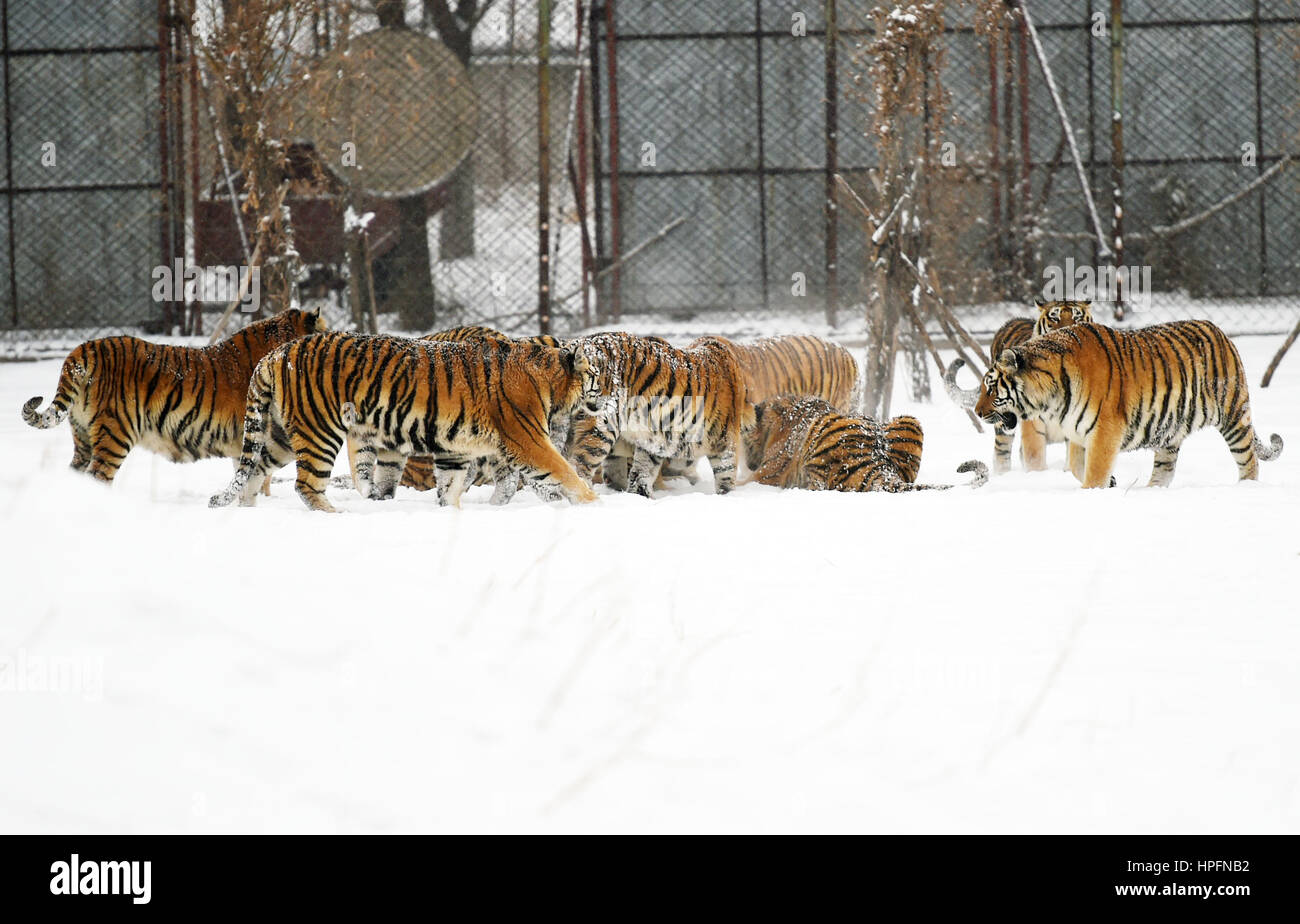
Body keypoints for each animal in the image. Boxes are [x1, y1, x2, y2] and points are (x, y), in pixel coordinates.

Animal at [208, 331, 596, 512]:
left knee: (254, 470)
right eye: (597, 374)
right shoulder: (527, 439)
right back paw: (336, 515)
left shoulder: (456, 449)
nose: (607, 399)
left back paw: (246, 512)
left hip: (281, 434)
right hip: (319, 429)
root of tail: (275, 354)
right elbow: (564, 472)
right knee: (306, 485)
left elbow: (450, 488)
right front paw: (594, 504)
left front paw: (451, 513)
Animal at [567, 332, 751, 498]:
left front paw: (639, 495)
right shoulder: (726, 440)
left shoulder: (653, 442)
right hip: (600, 430)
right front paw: (726, 496)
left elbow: (642, 471)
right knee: (579, 467)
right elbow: (726, 474)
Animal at [944, 298, 1092, 474]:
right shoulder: (1034, 423)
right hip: (1002, 418)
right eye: (1054, 318)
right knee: (1001, 450)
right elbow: (1034, 456)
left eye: (1077, 318)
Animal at [973, 320, 1284, 488]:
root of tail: (1221, 332)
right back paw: (1150, 491)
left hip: (1233, 416)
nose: (977, 412)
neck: (1052, 400)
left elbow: (1094, 470)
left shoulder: (1104, 432)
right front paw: (1110, 484)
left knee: (1249, 461)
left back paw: (1246, 488)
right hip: (1170, 431)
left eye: (991, 386)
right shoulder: (1078, 432)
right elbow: (1077, 467)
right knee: (1165, 469)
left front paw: (1094, 490)